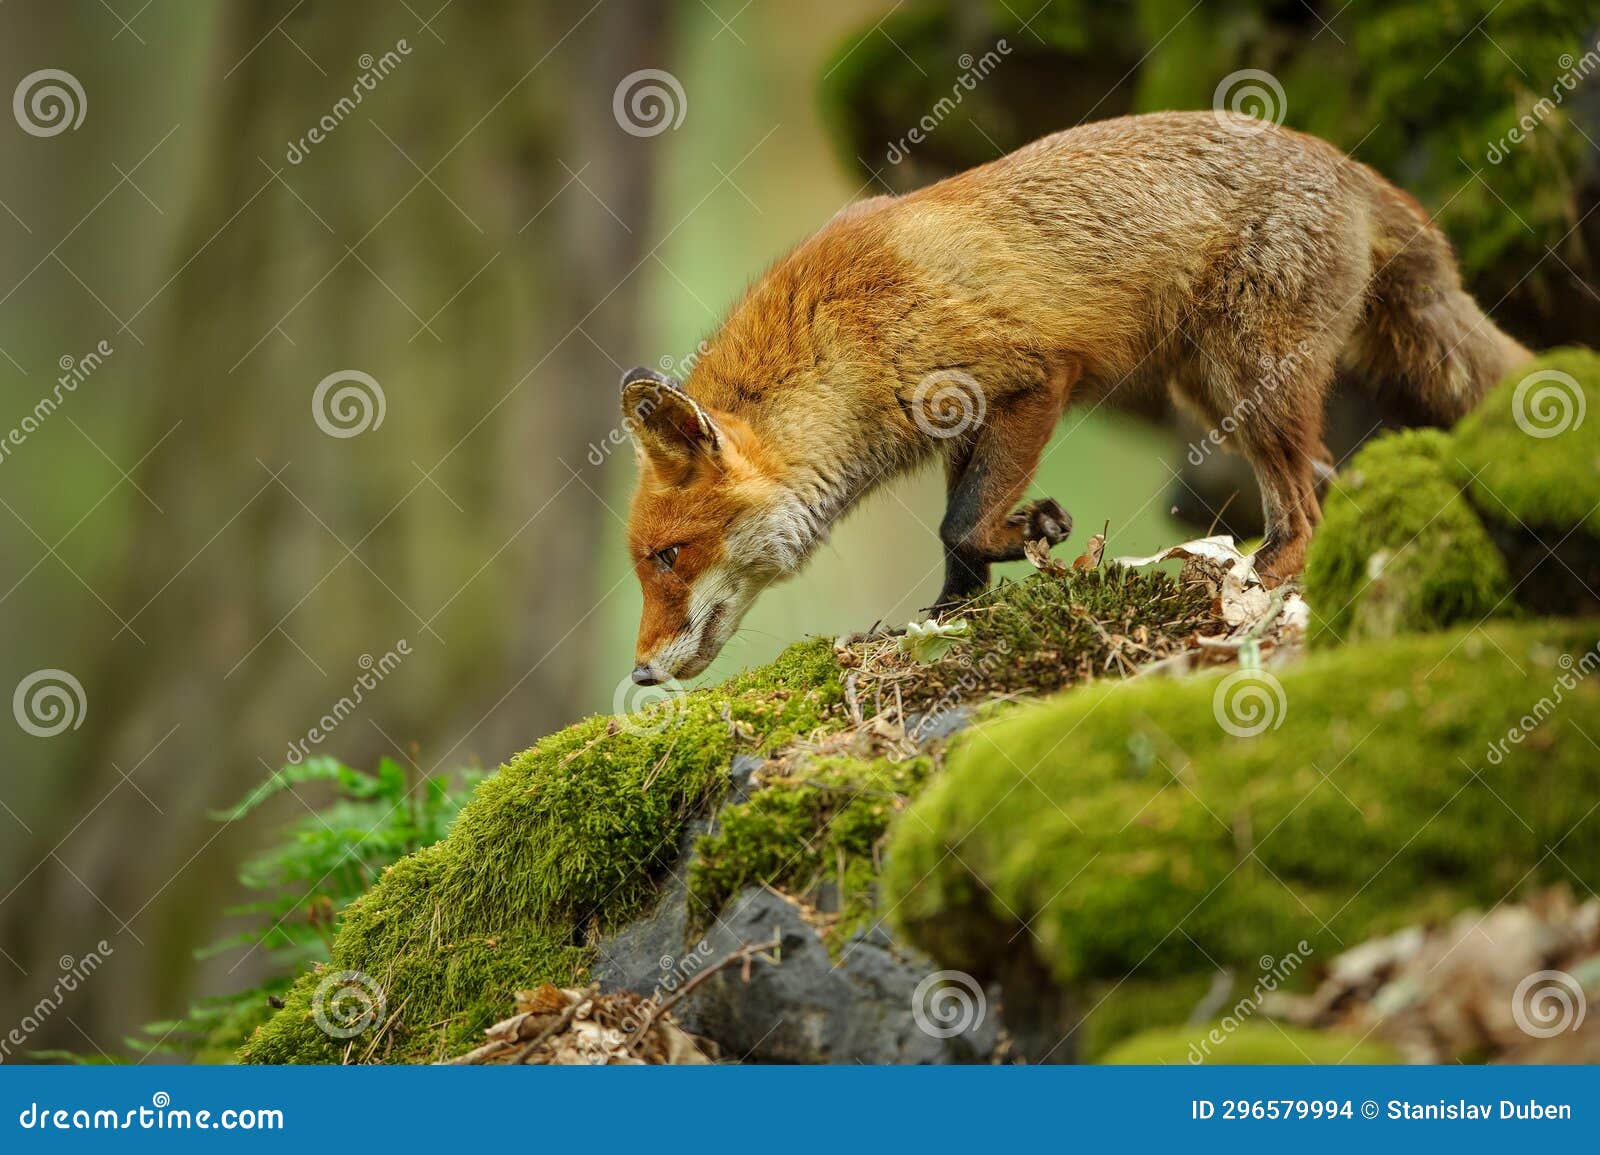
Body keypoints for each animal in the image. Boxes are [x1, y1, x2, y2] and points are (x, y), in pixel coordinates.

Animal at [621, 110, 1531, 686]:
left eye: (667, 557)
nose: (638, 672)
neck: (843, 336)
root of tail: (1343, 163)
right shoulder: (964, 424)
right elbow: (957, 536)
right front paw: (950, 611)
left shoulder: (1032, 378)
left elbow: (961, 521)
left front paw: (1033, 534)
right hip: (1215, 393)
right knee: (1323, 482)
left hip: (1252, 380)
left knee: (1303, 513)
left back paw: (1250, 584)